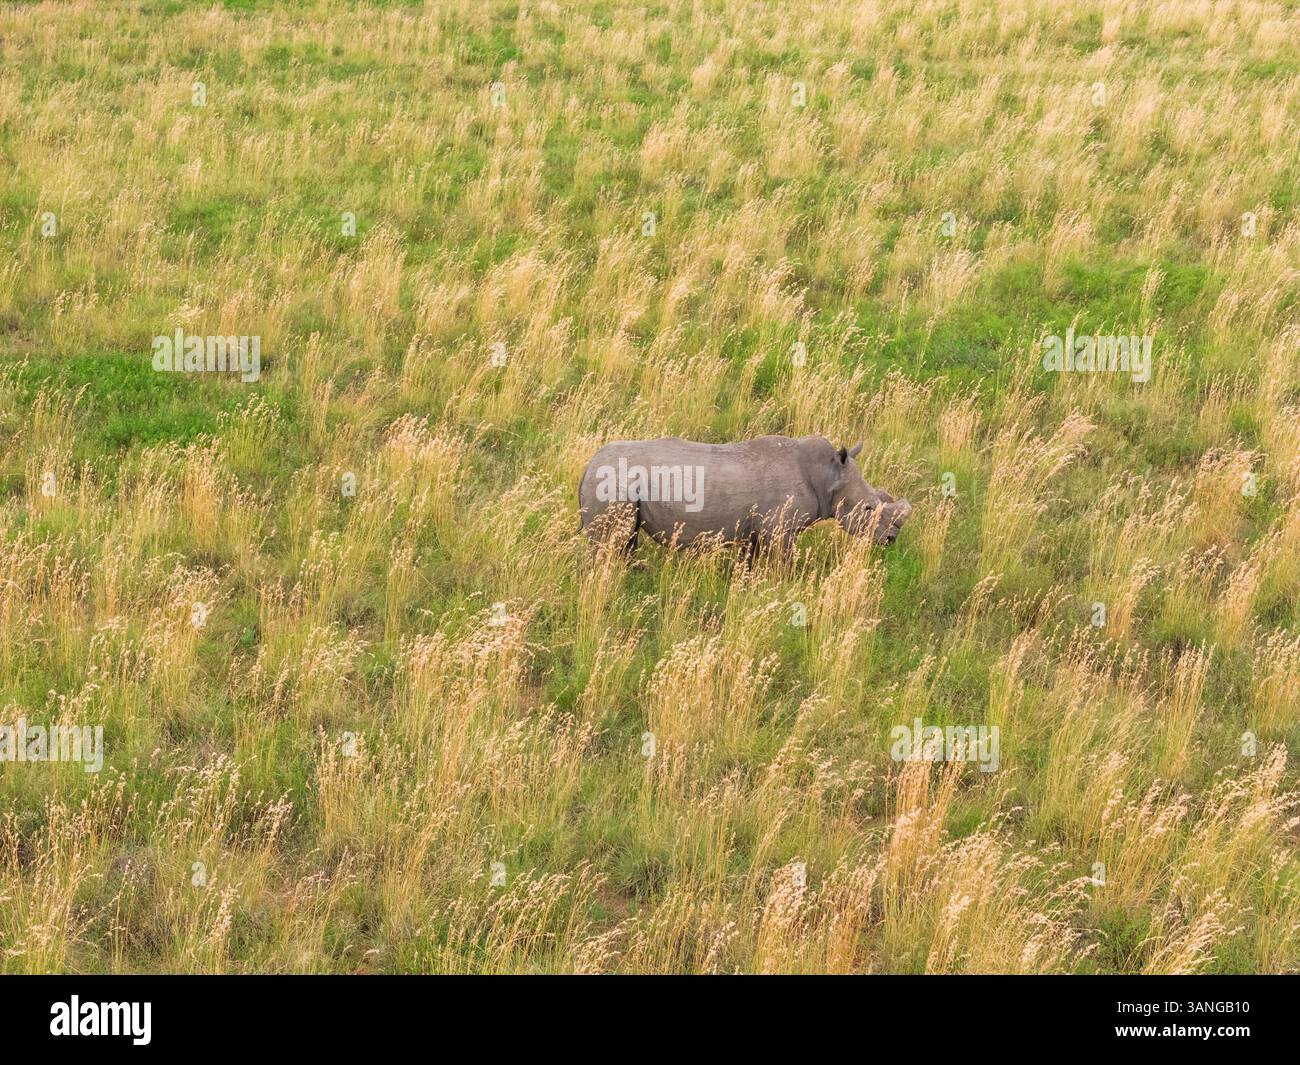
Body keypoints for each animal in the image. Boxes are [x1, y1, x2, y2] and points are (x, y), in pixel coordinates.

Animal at [579, 434, 912, 556]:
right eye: (868, 508)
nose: (891, 540)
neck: (827, 475)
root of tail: (588, 465)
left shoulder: (760, 530)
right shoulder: (780, 530)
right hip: (611, 483)